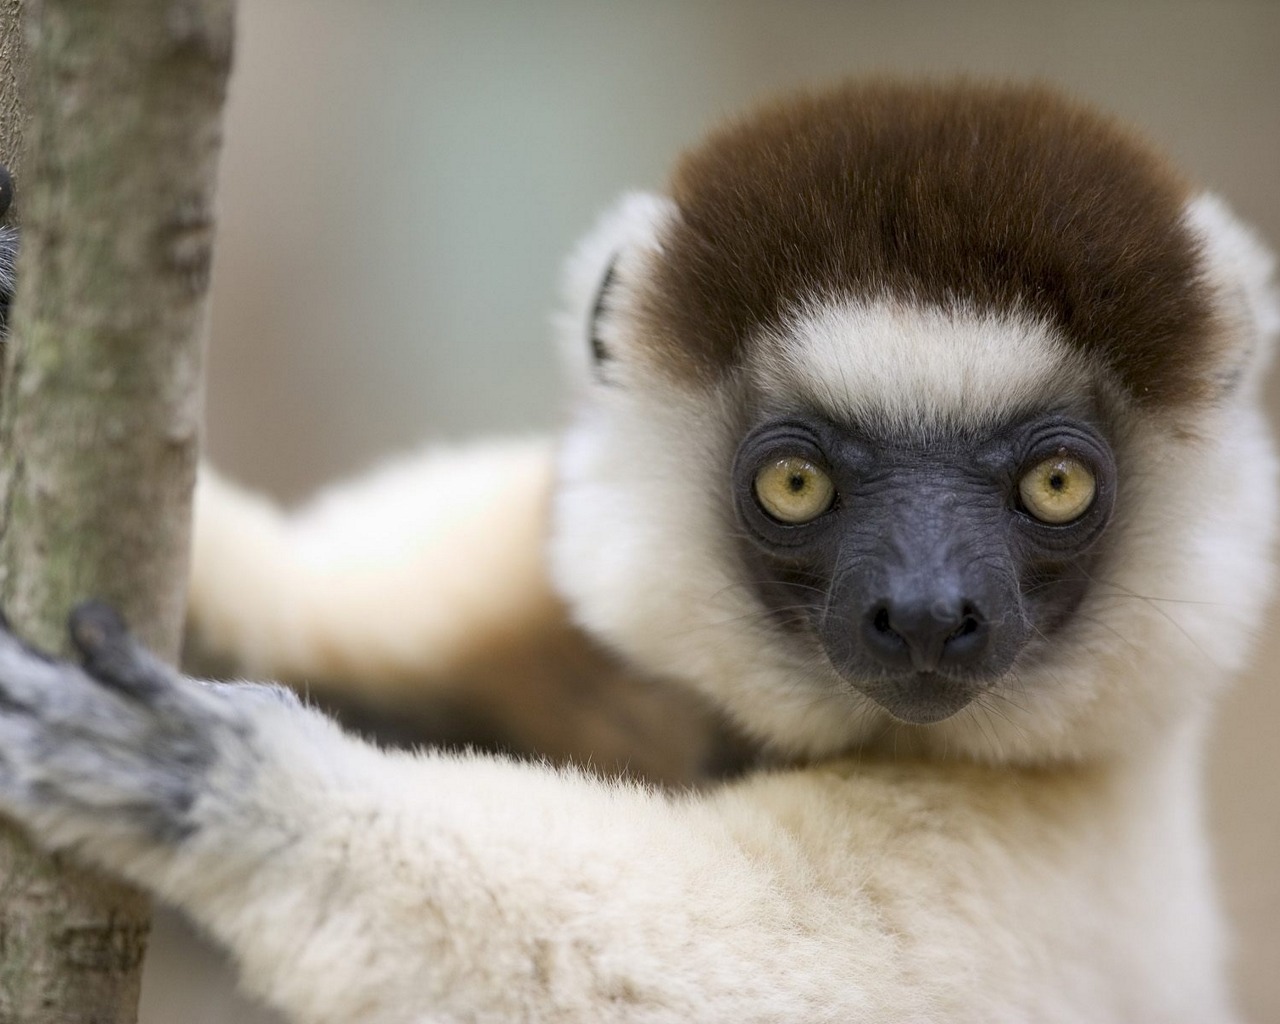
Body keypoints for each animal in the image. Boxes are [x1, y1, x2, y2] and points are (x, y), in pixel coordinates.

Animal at [0, 79, 1275, 1023]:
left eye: (1054, 487)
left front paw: (237, 792)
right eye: (794, 484)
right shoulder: (506, 561)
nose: (923, 612)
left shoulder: (1077, 853)